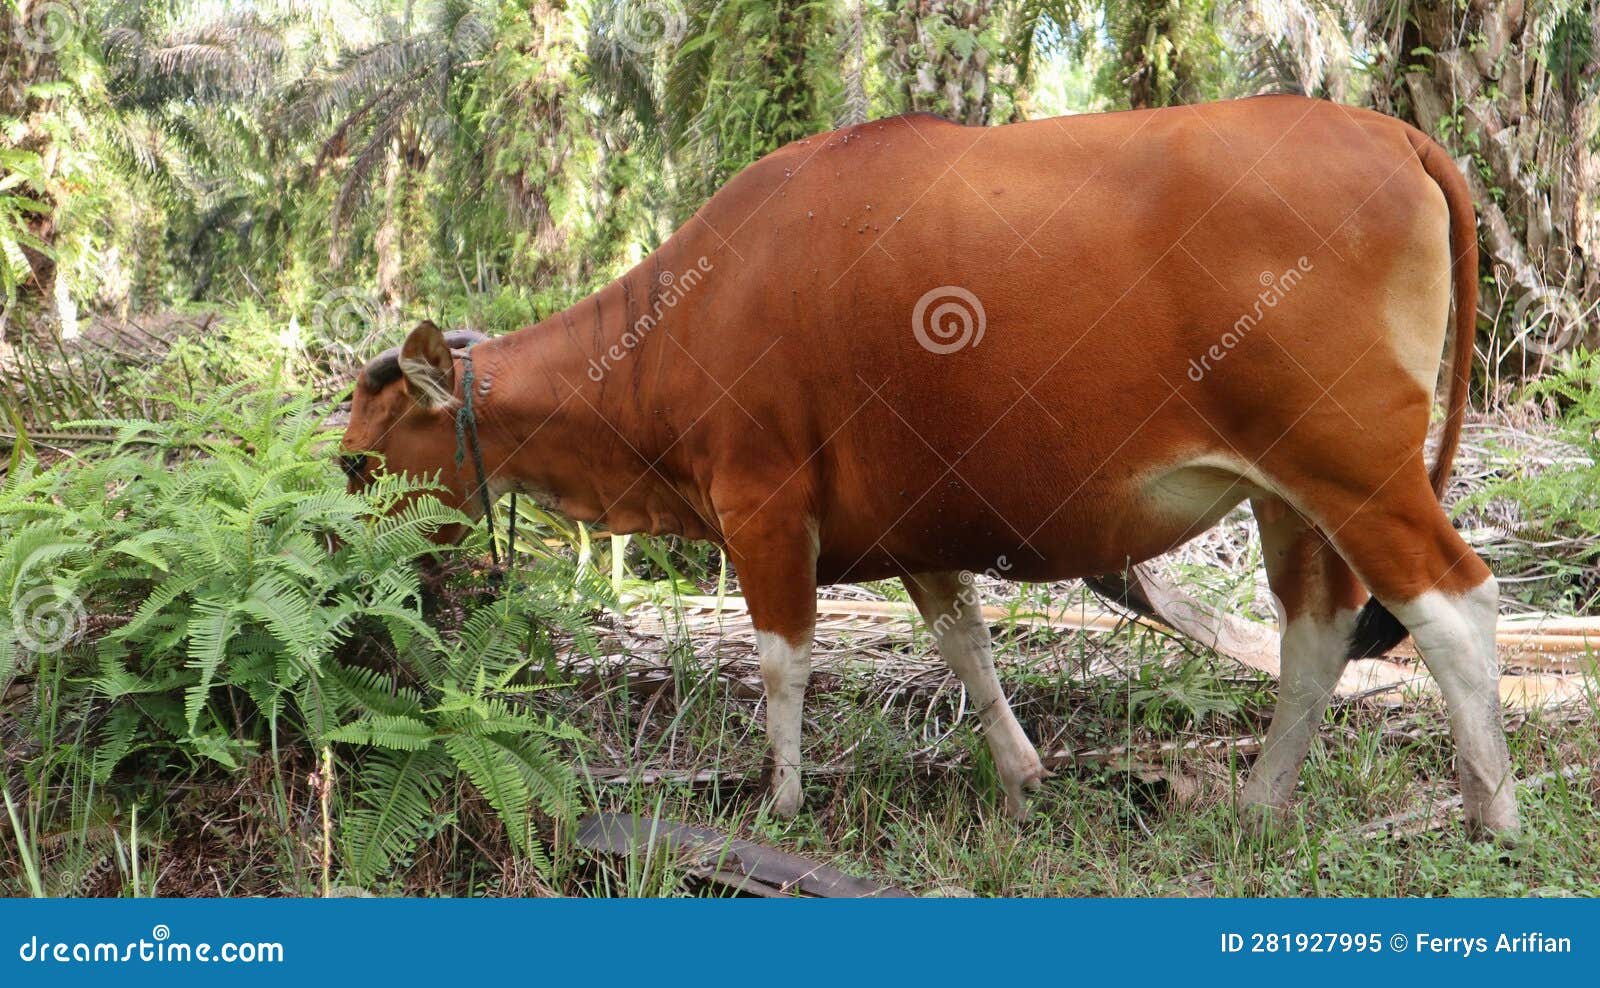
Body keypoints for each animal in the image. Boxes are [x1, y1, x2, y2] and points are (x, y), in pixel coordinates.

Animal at [341, 95, 1519, 838]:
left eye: (357, 464)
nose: (351, 571)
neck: (674, 325)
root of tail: (1392, 130)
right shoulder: (916, 528)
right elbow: (966, 648)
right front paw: (1022, 776)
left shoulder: (764, 507)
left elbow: (784, 662)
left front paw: (780, 801)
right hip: (1289, 490)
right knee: (1316, 629)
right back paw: (1265, 799)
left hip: (1357, 467)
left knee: (1454, 603)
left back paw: (1491, 808)